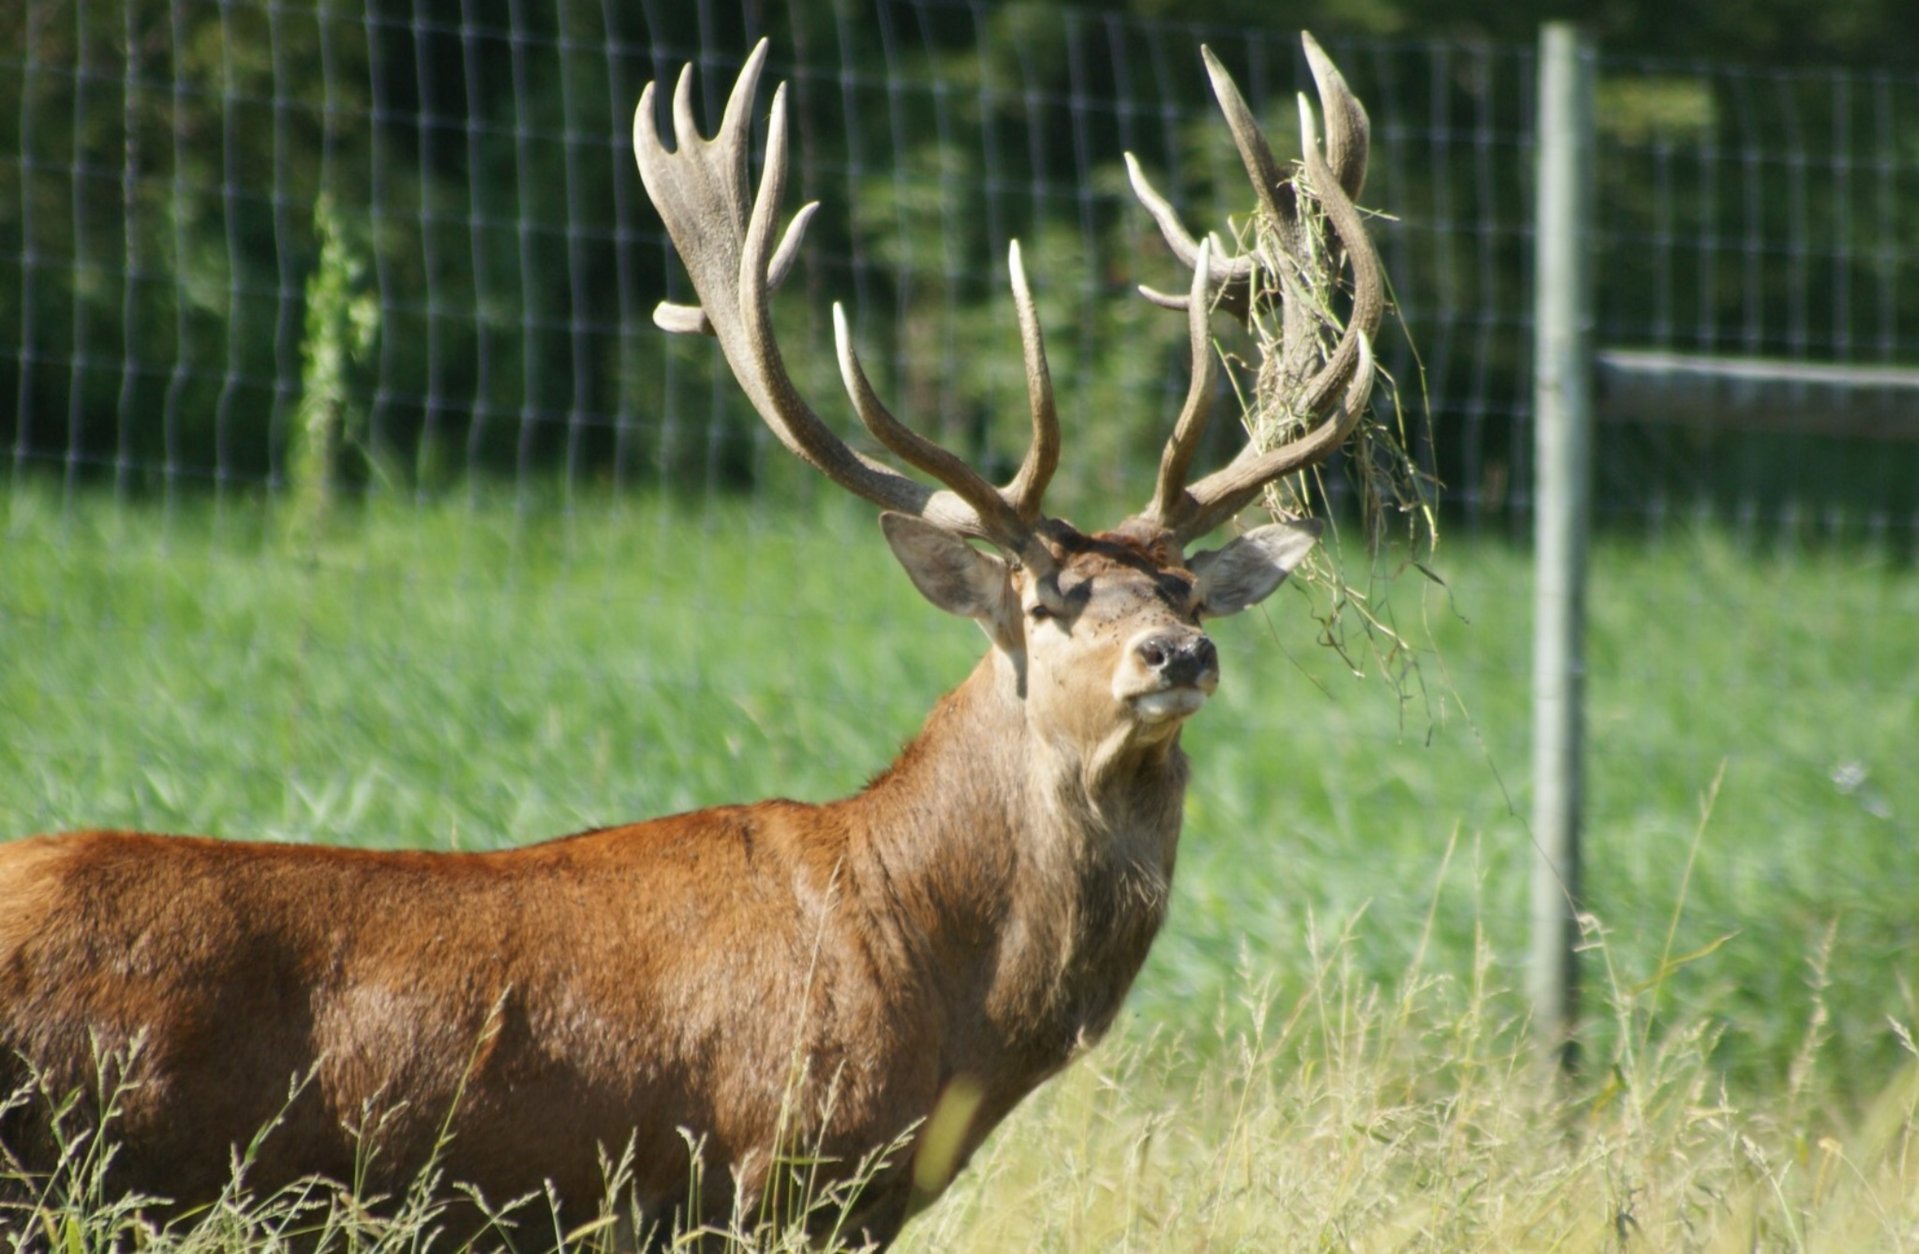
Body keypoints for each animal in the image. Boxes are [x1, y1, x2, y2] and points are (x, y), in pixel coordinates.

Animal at [0, 34, 1381, 1248]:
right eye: (1049, 601)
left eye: (1186, 594)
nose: (1176, 659)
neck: (938, 986)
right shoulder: (770, 1168)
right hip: (74, 1163)